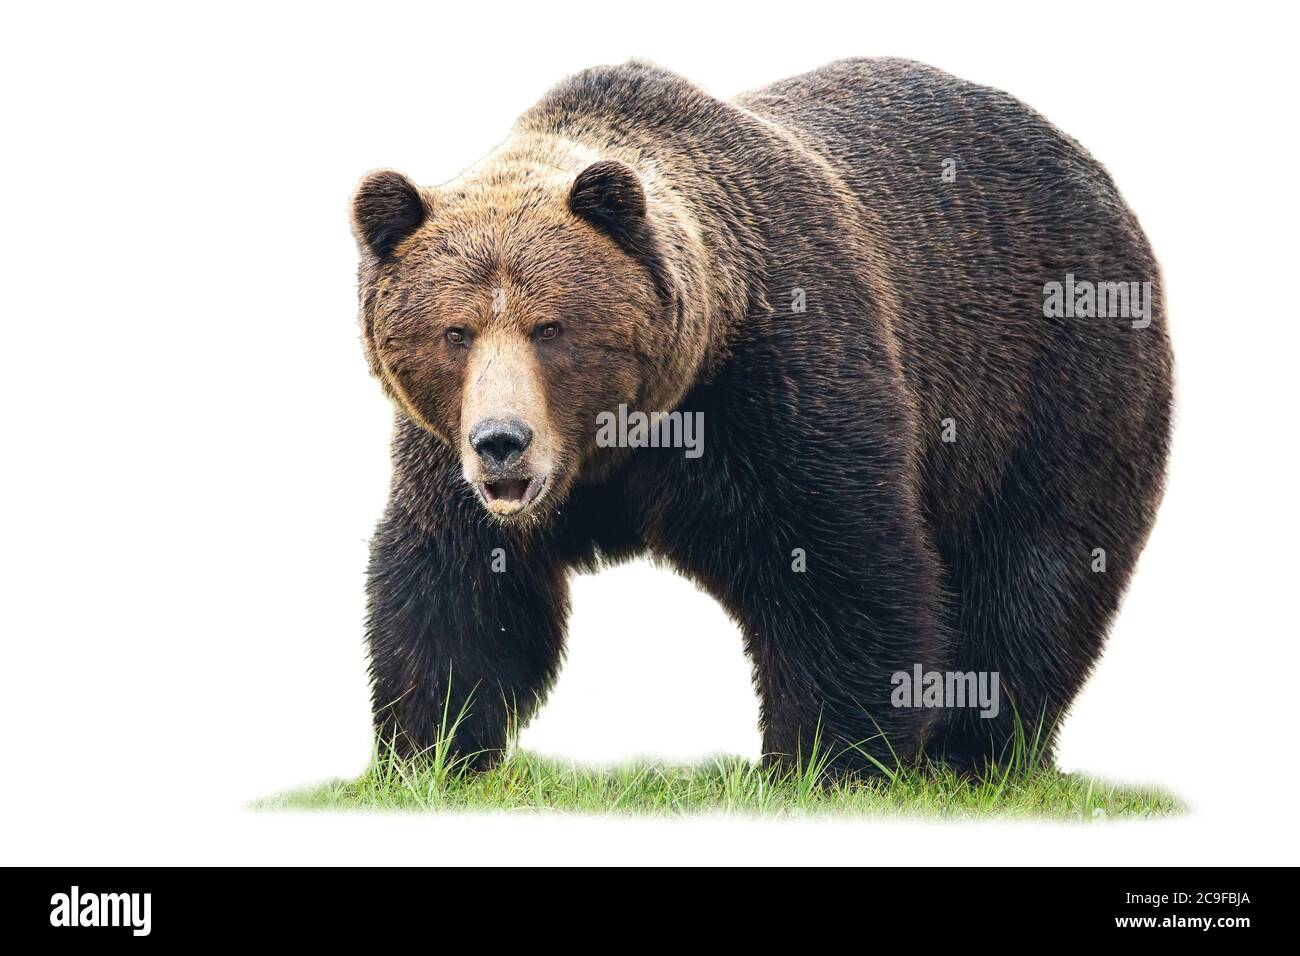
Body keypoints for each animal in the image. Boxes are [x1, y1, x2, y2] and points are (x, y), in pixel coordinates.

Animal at [349, 58, 1172, 777]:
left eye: (550, 327)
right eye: (455, 332)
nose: (502, 444)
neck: (631, 432)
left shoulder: (778, 388)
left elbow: (840, 568)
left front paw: (829, 760)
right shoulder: (448, 456)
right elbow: (457, 589)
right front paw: (430, 750)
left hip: (1054, 378)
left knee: (1035, 566)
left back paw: (973, 753)